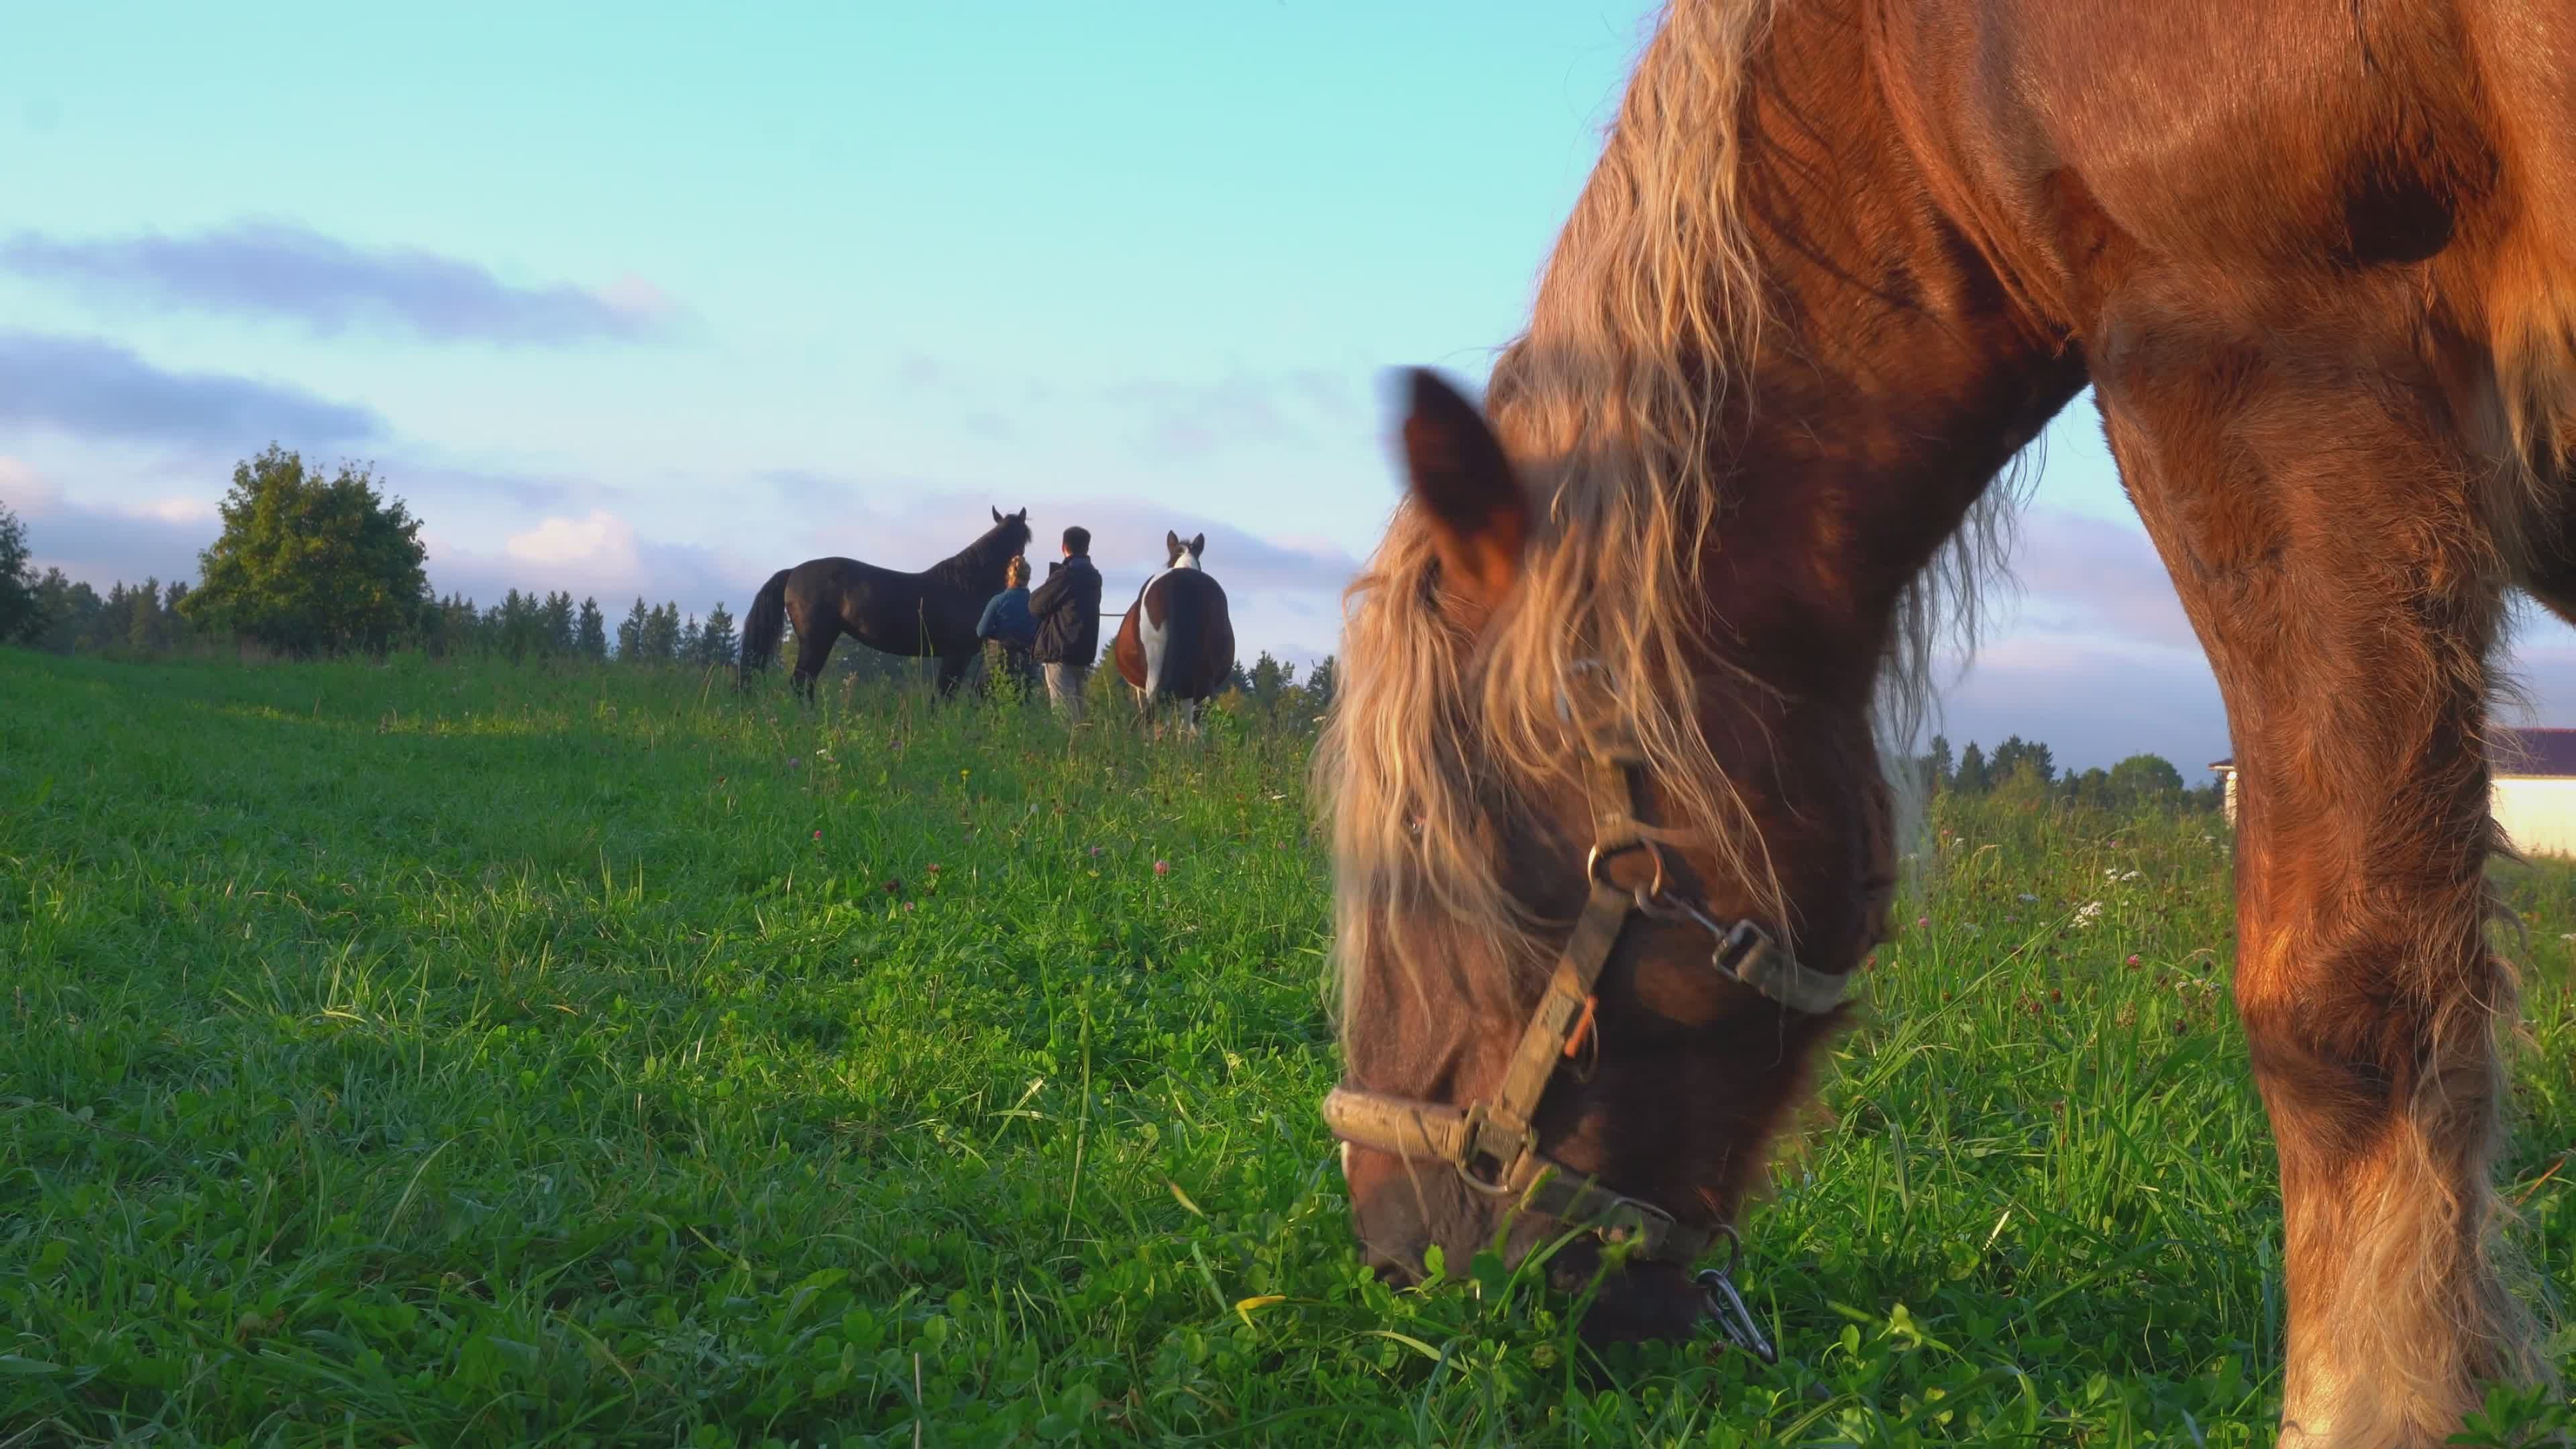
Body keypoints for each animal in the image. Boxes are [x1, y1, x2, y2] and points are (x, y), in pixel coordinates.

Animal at [740, 507, 1031, 701]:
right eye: (1025, 539)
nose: (1020, 570)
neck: (966, 585)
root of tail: (793, 572)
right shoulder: (956, 656)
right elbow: (943, 697)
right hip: (816, 642)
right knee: (802, 683)